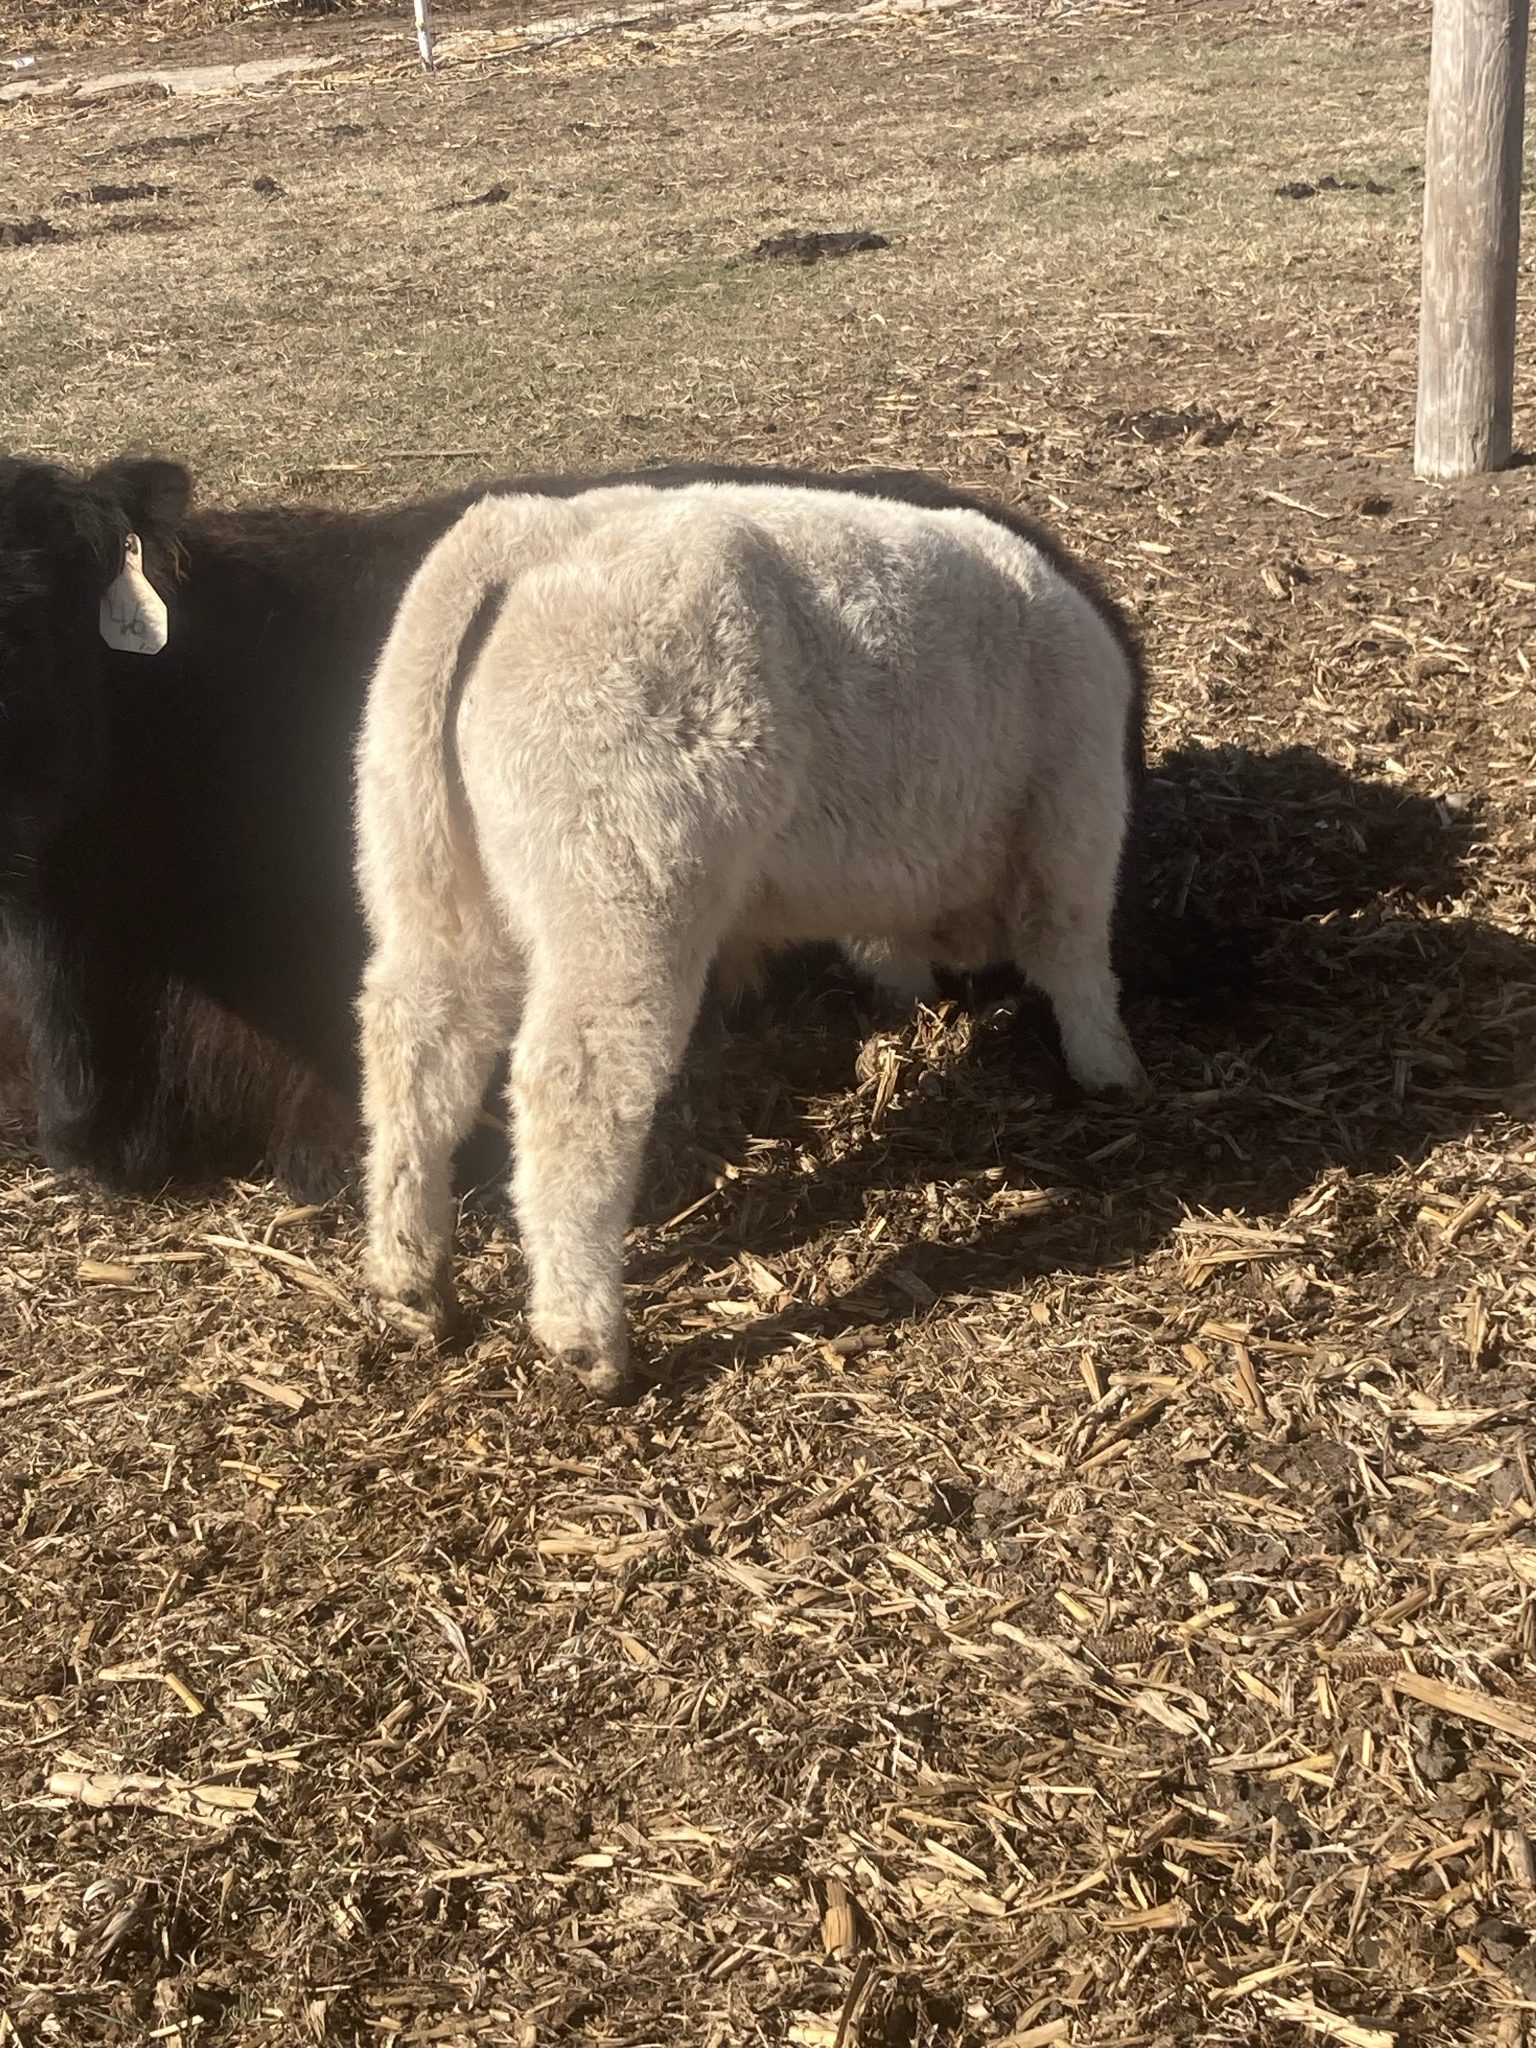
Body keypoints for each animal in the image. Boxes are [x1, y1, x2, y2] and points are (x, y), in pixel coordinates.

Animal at [354, 482, 1147, 1400]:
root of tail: (537, 526)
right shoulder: (1073, 810)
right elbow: (1076, 954)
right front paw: (1113, 1069)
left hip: (429, 876)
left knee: (416, 1041)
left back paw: (412, 1285)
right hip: (624, 894)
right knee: (574, 1084)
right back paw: (586, 1335)